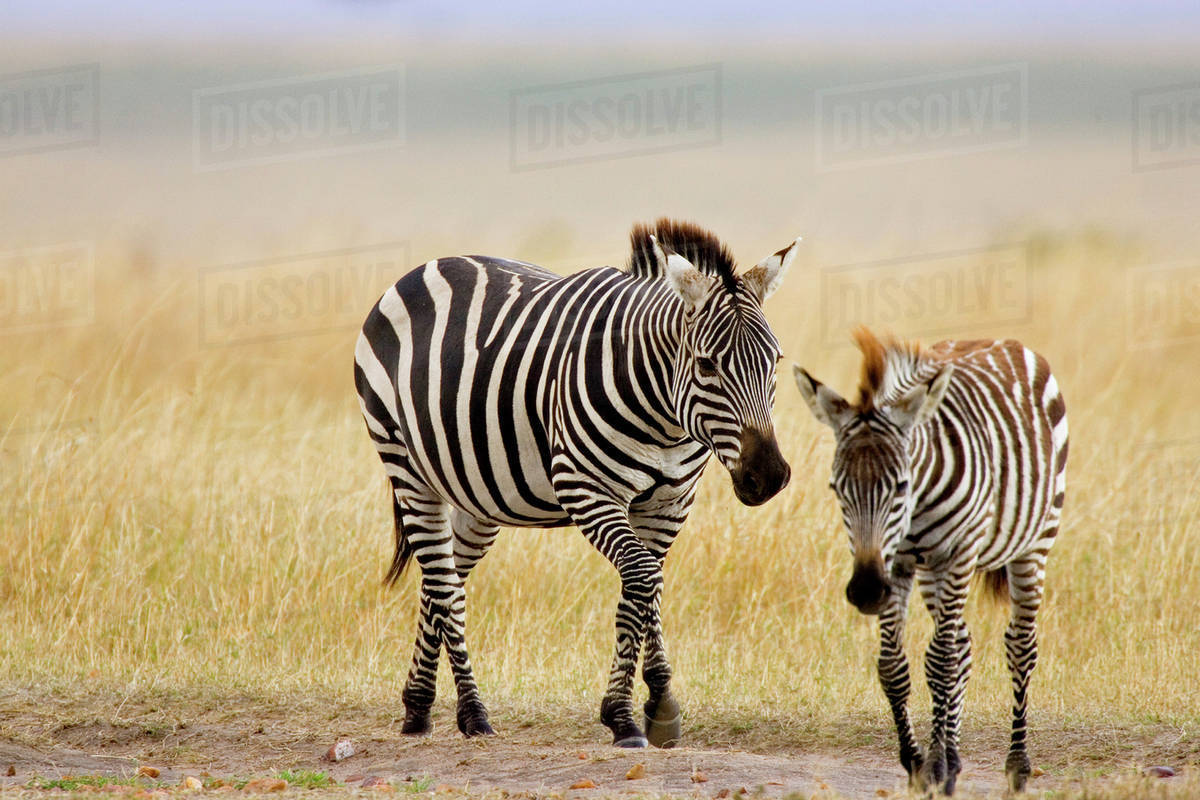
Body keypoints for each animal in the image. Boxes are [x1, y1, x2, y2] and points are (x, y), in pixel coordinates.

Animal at [354, 219, 799, 747]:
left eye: (775, 361)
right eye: (706, 364)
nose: (768, 476)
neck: (665, 419)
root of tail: (429, 266)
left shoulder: (670, 503)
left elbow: (644, 589)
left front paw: (650, 706)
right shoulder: (585, 488)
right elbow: (642, 579)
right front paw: (631, 714)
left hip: (476, 494)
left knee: (441, 581)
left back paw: (419, 705)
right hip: (405, 465)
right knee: (444, 586)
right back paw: (473, 712)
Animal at [792, 328, 1068, 795]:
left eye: (900, 485)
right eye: (836, 489)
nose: (866, 590)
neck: (915, 507)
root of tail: (1002, 340)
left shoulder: (957, 552)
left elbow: (940, 662)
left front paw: (935, 766)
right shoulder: (897, 563)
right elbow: (894, 667)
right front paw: (918, 763)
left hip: (1033, 540)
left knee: (1019, 646)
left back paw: (1017, 766)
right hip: (931, 572)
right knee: (963, 644)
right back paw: (955, 759)